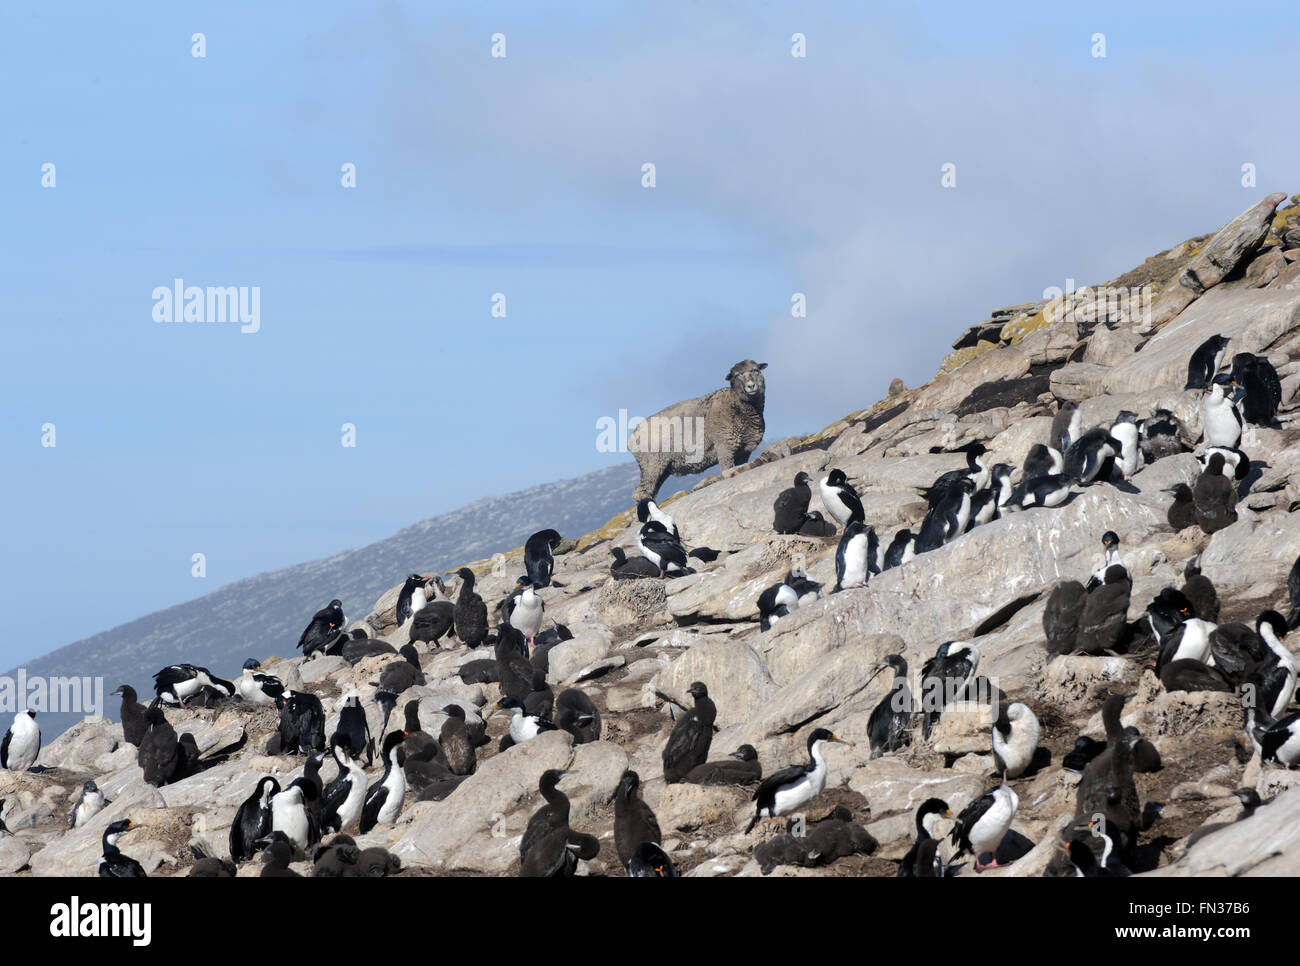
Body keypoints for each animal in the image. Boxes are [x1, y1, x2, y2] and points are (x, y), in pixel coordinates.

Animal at [630, 360, 767, 501]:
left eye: (756, 370)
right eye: (737, 375)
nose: (751, 386)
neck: (736, 404)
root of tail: (632, 436)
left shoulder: (743, 451)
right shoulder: (724, 446)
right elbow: (726, 470)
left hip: (662, 468)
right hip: (651, 465)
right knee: (640, 492)